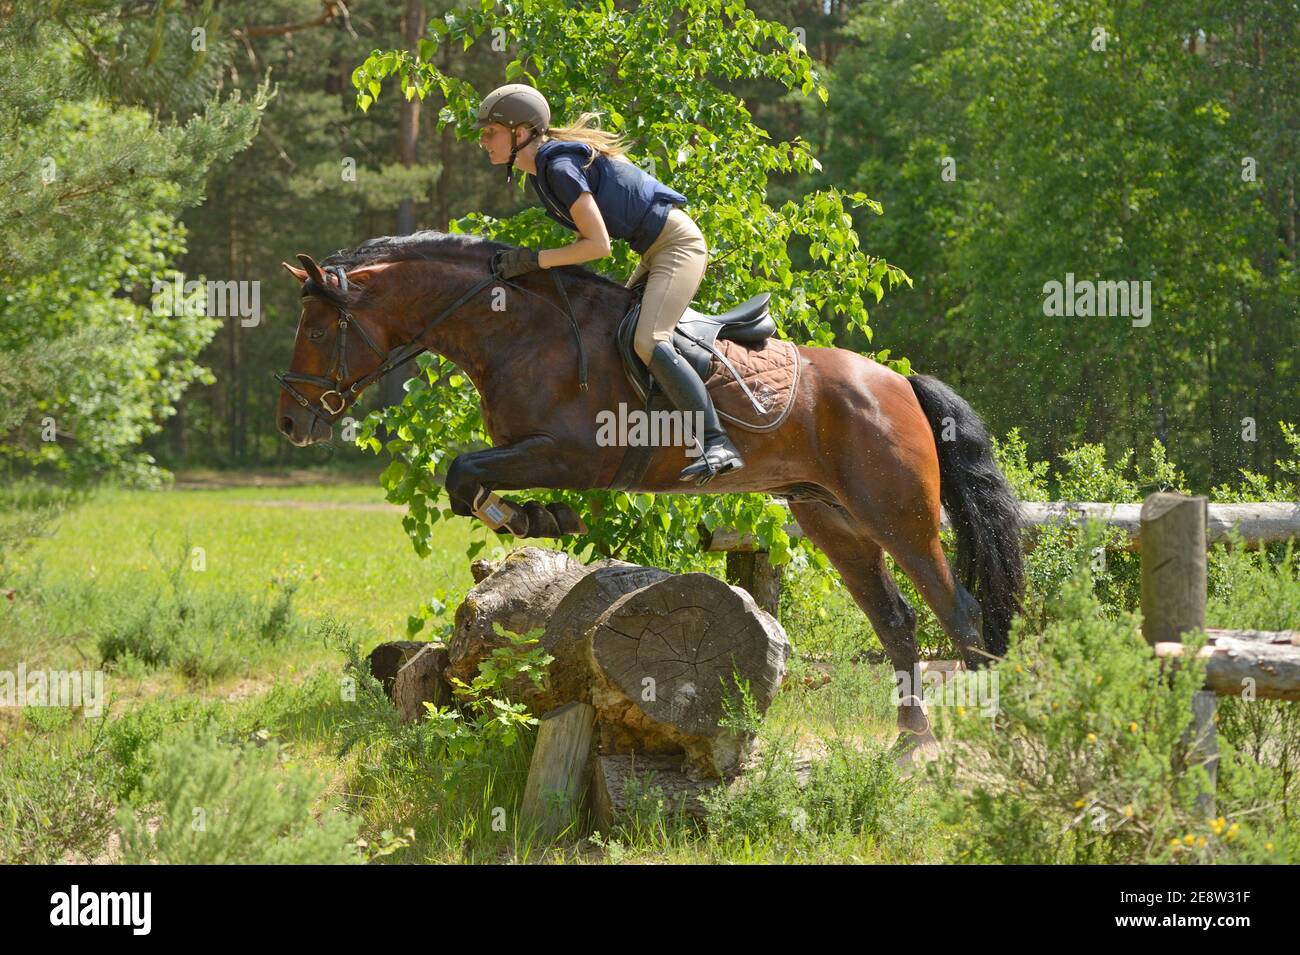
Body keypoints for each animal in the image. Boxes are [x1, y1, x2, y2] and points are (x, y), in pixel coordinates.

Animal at [276, 230, 1024, 741]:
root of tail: (898, 381)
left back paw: (980, 734)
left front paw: (536, 519)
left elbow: (464, 474)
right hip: (834, 520)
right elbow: (468, 484)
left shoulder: (569, 454)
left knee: (958, 612)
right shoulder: (533, 453)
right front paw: (536, 520)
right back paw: (910, 741)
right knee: (896, 622)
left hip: (900, 516)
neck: (516, 331)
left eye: (316, 328)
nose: (289, 422)